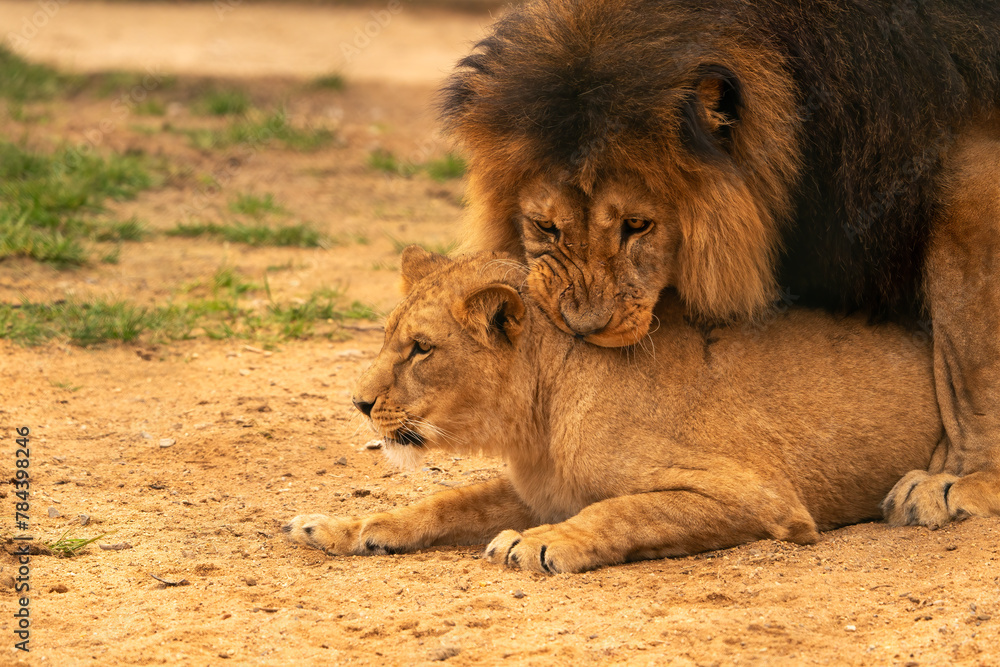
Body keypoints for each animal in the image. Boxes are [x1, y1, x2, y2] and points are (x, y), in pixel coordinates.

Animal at [284, 247, 946, 573]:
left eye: (421, 349)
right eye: (388, 337)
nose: (358, 403)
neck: (537, 425)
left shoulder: (764, 498)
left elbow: (625, 509)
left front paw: (543, 543)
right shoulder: (536, 491)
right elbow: (445, 502)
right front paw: (345, 528)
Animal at [439, 0, 1000, 527]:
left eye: (637, 225)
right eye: (545, 227)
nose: (582, 329)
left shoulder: (971, 161)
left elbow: (971, 355)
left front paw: (964, 481)